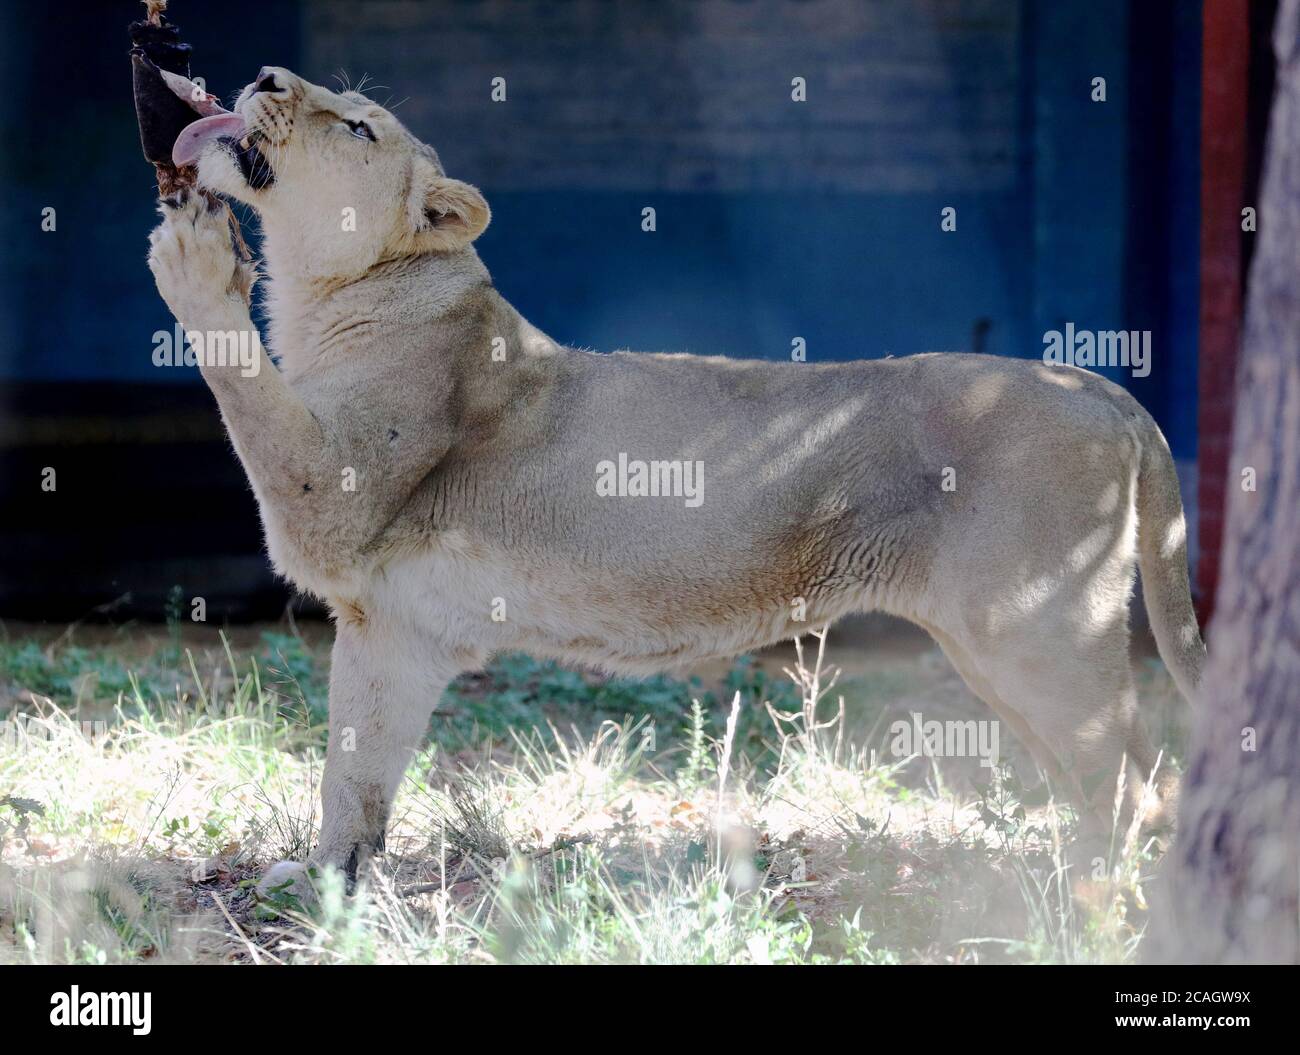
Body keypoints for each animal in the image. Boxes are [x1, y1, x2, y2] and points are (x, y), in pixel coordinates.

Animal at [146, 67, 1205, 896]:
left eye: (359, 125)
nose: (265, 76)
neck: (324, 299)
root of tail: (1105, 388)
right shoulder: (391, 622)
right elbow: (353, 773)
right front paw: (329, 883)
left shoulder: (334, 501)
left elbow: (253, 393)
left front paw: (194, 252)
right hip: (1004, 654)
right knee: (1111, 780)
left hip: (1040, 633)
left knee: (1133, 777)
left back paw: (1092, 904)